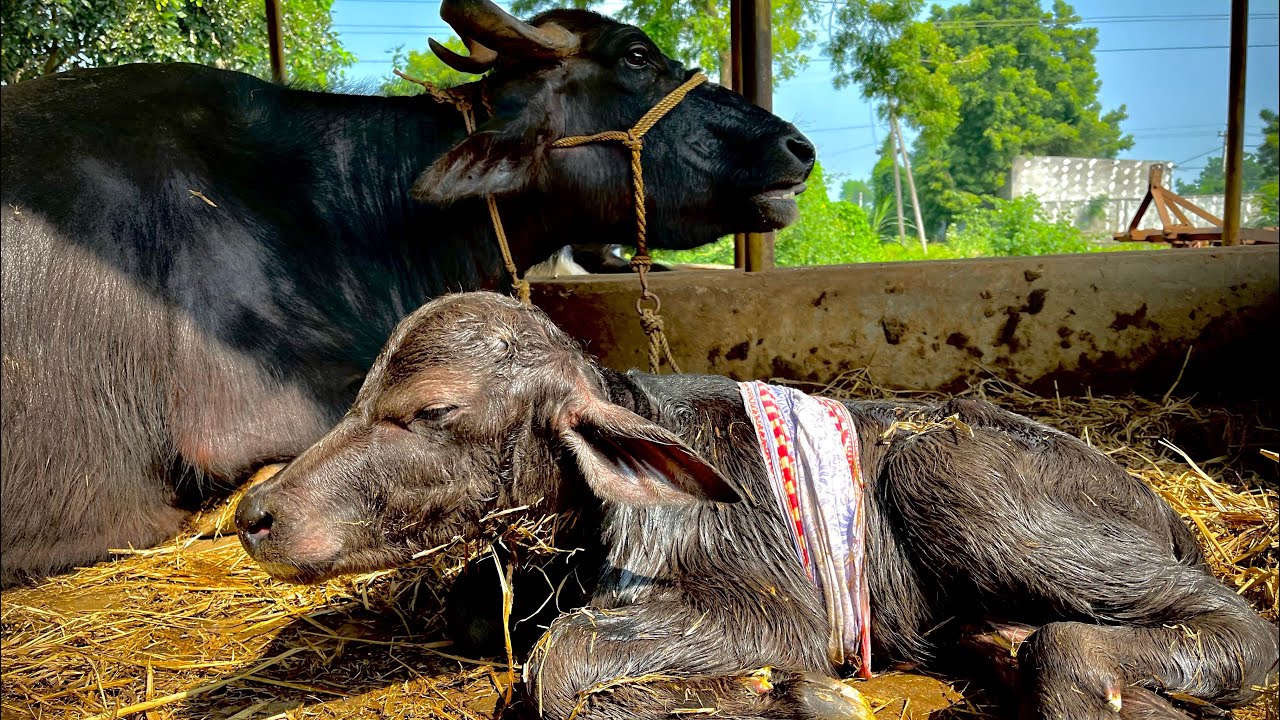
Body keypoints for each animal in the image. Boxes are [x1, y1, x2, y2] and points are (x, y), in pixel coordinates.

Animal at [235, 291, 1278, 720]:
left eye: (432, 411)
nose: (257, 515)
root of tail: (1156, 499)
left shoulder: (778, 612)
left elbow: (561, 664)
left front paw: (804, 697)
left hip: (955, 480)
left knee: (1226, 621)